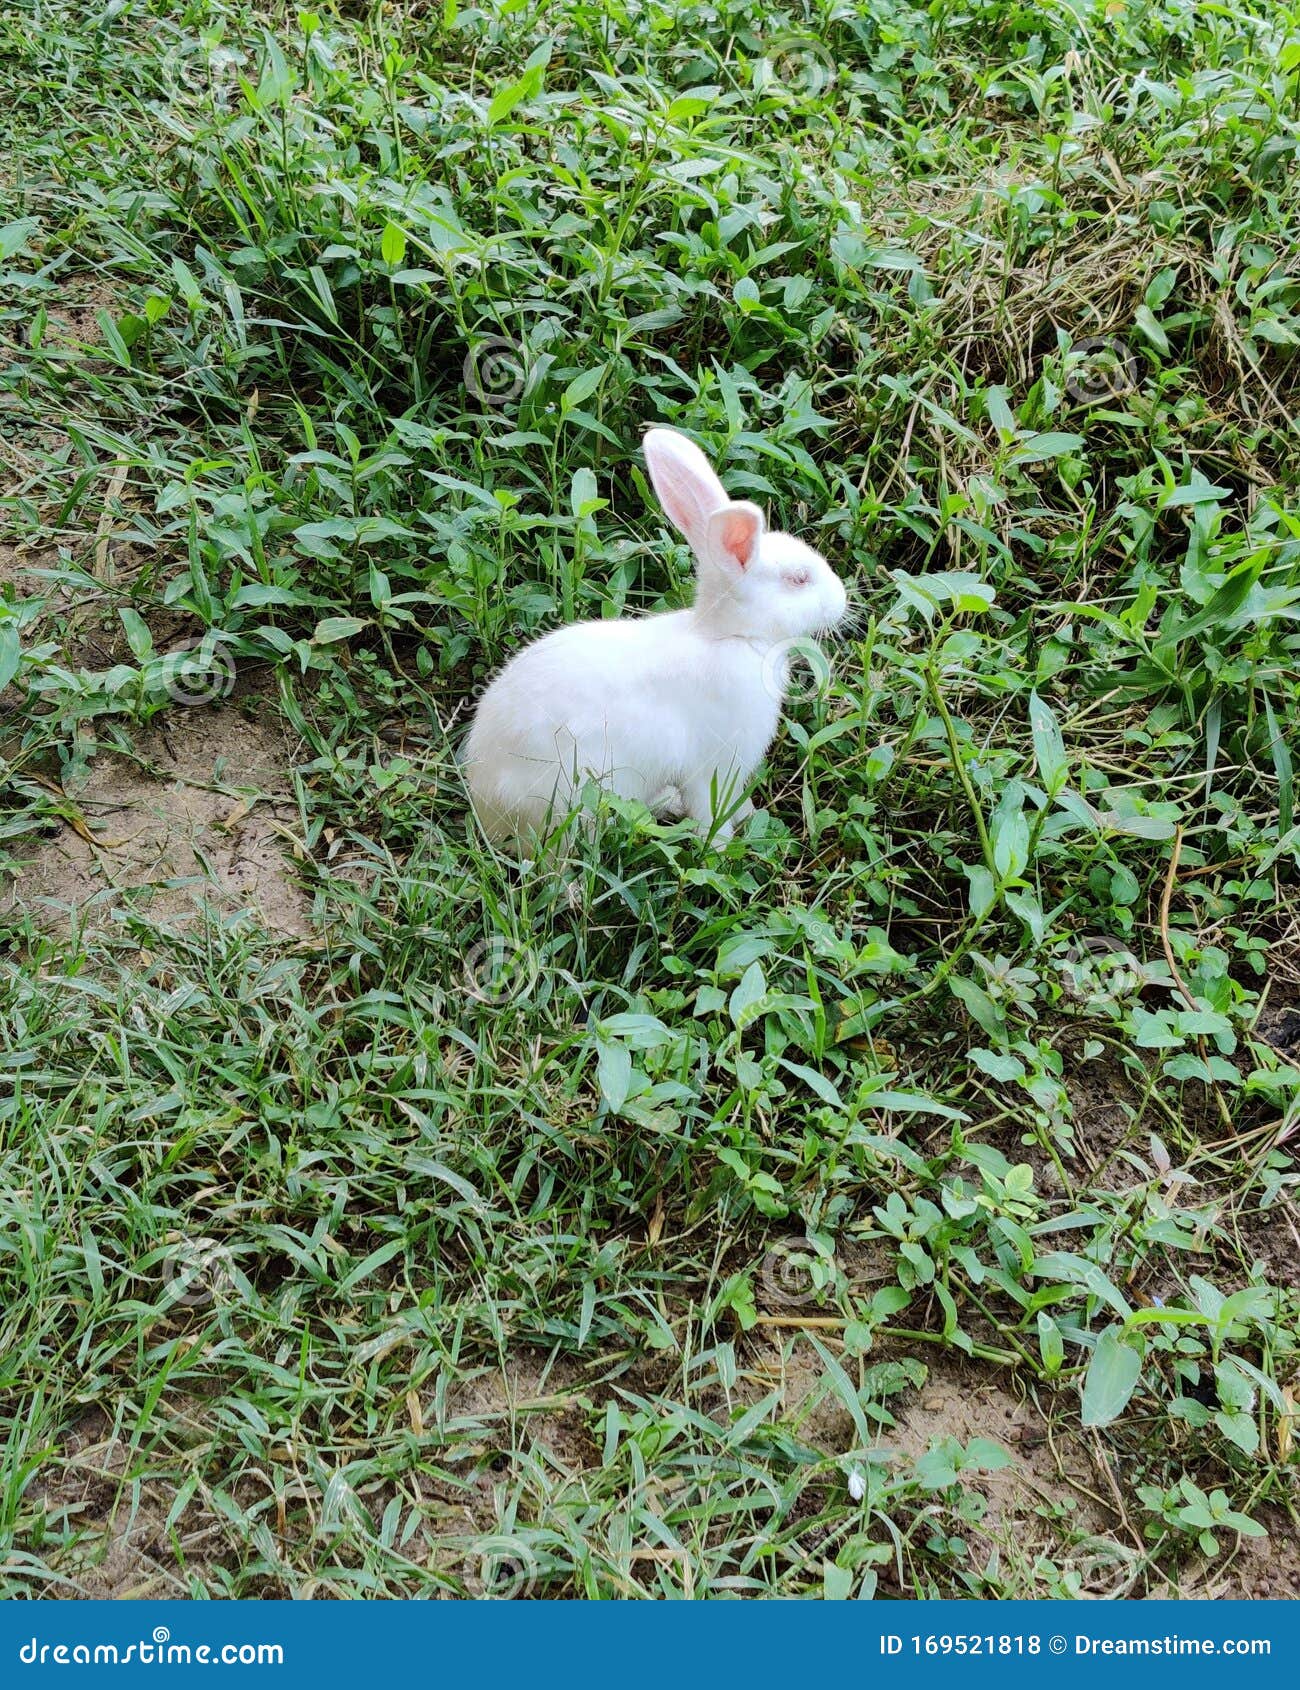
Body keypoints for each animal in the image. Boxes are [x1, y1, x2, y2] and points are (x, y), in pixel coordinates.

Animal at [464, 426, 848, 850]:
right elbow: (710, 814)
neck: (729, 635)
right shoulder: (711, 768)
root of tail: (486, 808)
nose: (842, 598)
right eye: (799, 579)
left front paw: (748, 818)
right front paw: (720, 849)